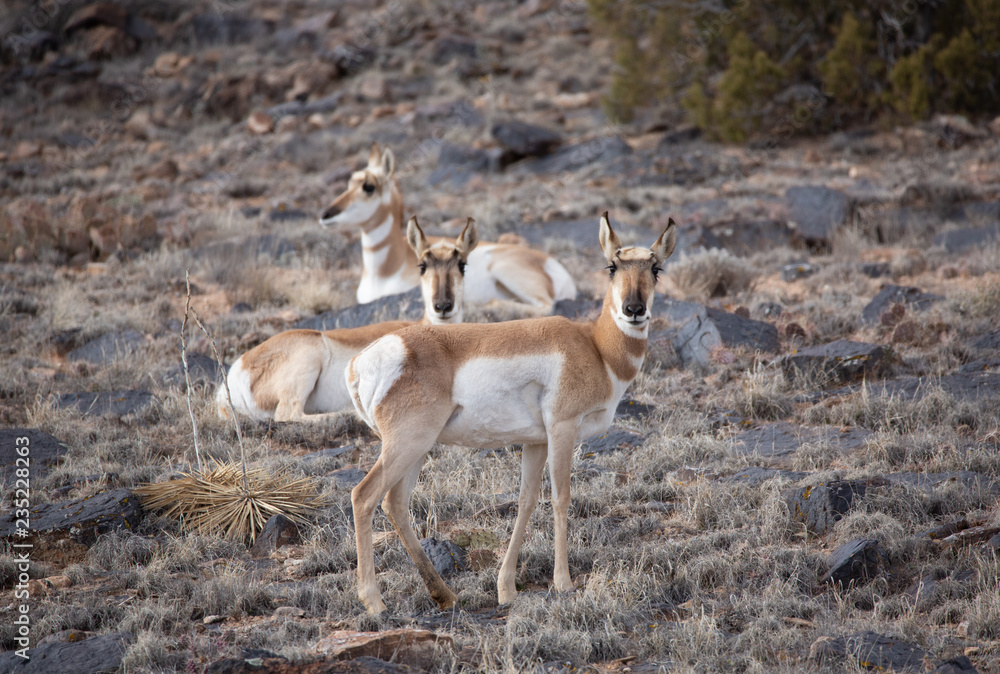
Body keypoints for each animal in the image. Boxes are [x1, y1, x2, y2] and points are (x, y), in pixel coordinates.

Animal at [217, 217, 478, 422]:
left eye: (462, 264)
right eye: (422, 265)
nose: (443, 306)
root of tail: (236, 372)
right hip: (309, 359)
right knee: (288, 415)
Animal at [319, 143, 577, 308]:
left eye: (369, 187)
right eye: (349, 183)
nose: (326, 214)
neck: (387, 267)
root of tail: (552, 265)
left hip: (508, 273)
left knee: (545, 306)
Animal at [346, 213, 676, 614]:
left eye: (656, 268)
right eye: (612, 265)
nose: (634, 310)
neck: (595, 347)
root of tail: (363, 361)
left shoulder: (536, 443)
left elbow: (526, 501)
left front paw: (506, 589)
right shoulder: (563, 430)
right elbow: (562, 497)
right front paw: (563, 583)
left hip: (416, 449)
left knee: (395, 503)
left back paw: (444, 594)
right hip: (406, 445)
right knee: (364, 496)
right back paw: (374, 602)